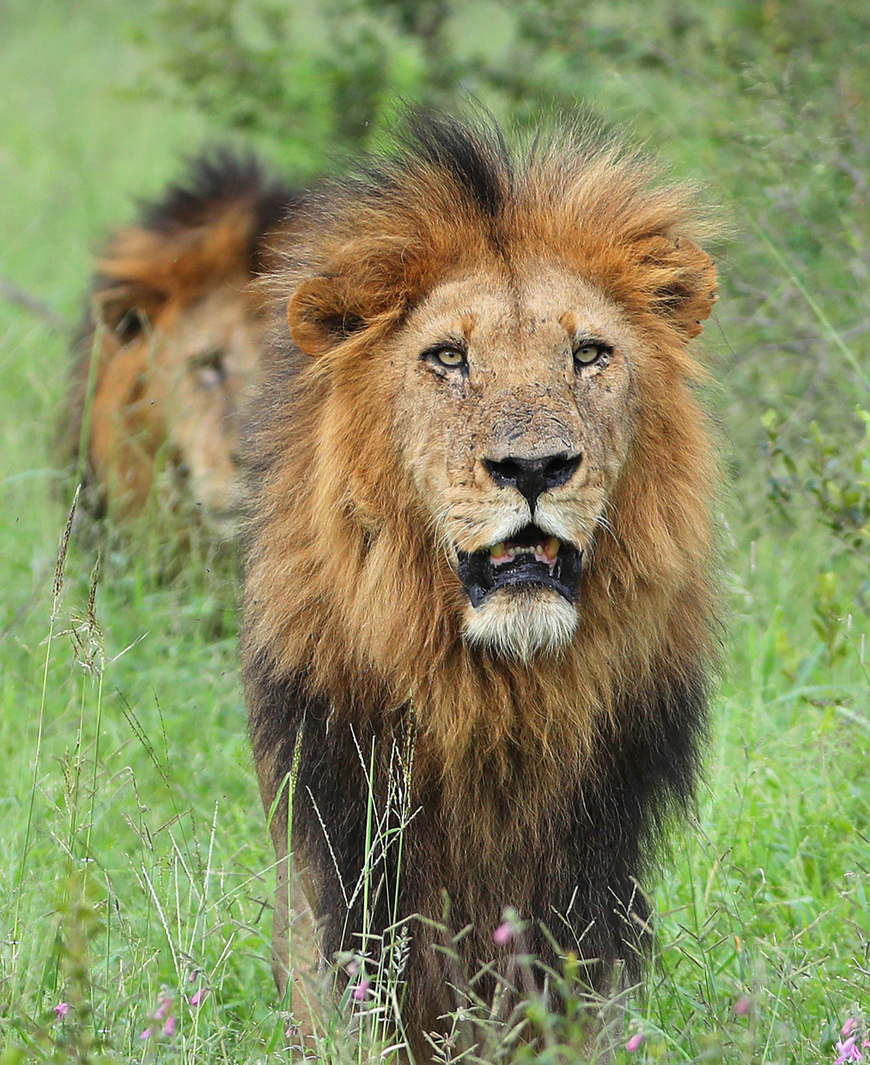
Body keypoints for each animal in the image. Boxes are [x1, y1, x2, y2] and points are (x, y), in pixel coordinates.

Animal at [242, 113, 719, 1060]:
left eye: (589, 353)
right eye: (449, 357)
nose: (533, 467)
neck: (496, 698)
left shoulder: (591, 865)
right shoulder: (343, 839)